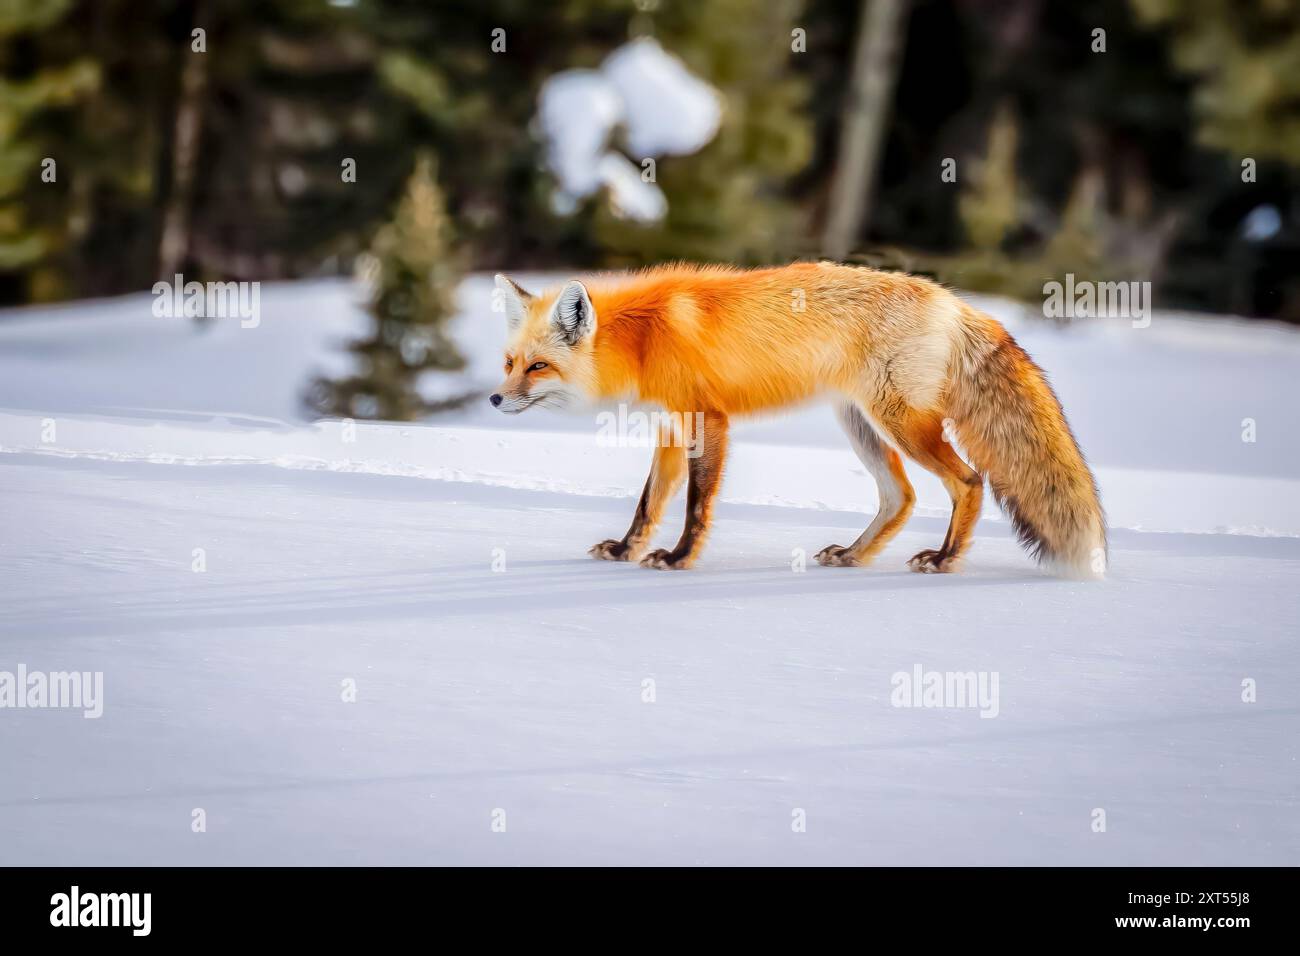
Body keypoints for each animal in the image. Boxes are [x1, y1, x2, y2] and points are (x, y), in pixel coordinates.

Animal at [490, 262, 1106, 578]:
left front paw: (681, 558)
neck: (642, 342)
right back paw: (855, 555)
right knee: (900, 497)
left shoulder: (708, 420)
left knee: (968, 481)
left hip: (900, 422)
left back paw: (945, 559)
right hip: (859, 422)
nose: (495, 400)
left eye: (539, 367)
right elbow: (648, 504)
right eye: (509, 363)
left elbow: (694, 506)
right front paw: (625, 552)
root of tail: (955, 302)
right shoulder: (669, 426)